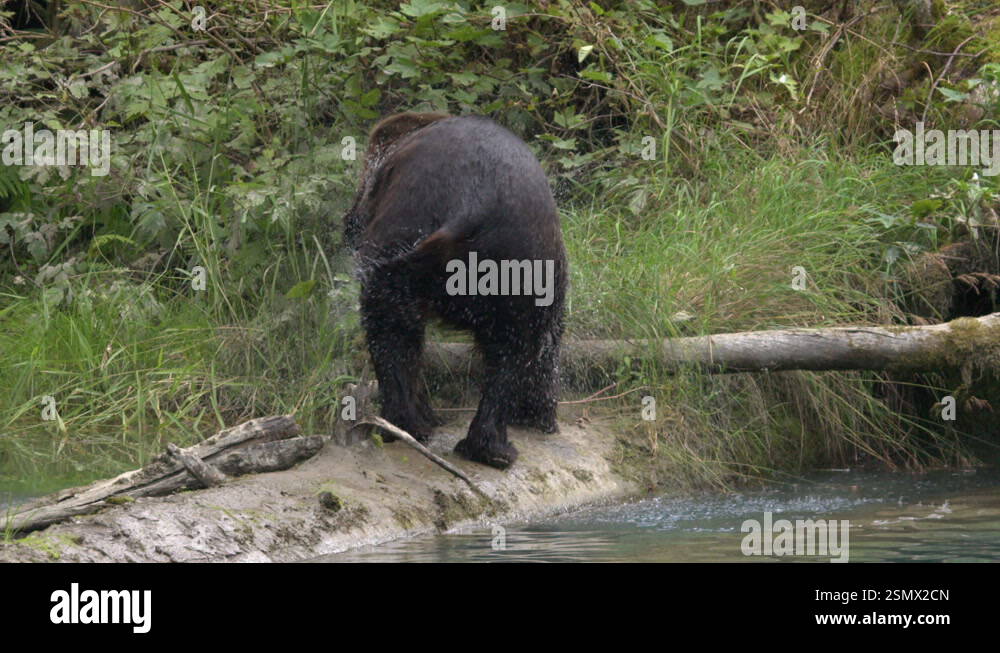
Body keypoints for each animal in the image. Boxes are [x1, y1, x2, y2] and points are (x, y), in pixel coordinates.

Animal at [343, 112, 568, 469]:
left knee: (394, 342)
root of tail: (471, 203)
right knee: (510, 358)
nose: (349, 220)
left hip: (396, 259)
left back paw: (412, 427)